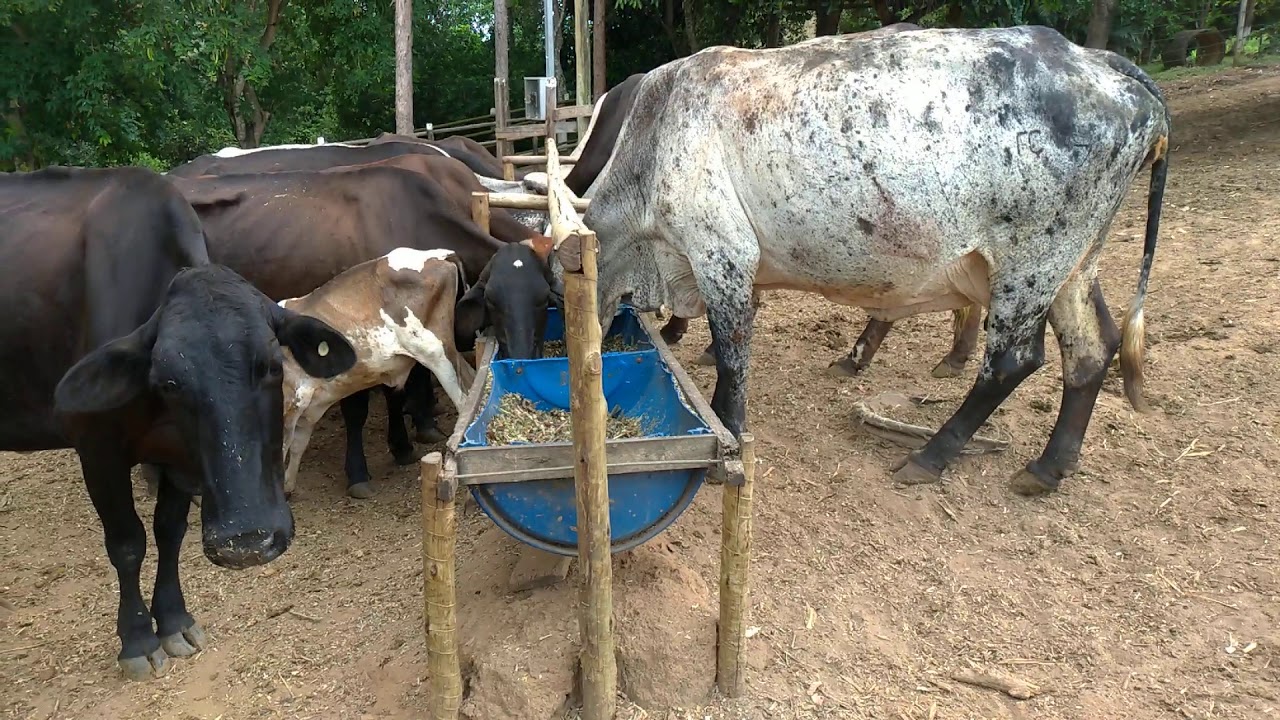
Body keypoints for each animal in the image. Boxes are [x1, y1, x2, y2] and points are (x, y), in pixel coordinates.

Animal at [0, 166, 357, 679]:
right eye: (167, 381)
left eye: (273, 364)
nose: (246, 540)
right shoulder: (96, 448)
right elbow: (127, 542)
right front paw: (136, 638)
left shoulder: (179, 462)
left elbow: (169, 531)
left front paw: (173, 621)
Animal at [277, 248, 477, 498]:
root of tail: (439, 255)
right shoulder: (309, 405)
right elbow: (297, 444)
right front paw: (288, 486)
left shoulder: (291, 401)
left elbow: (281, 449)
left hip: (437, 353)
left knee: (464, 399)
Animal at [576, 26, 1170, 496]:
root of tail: (1097, 60)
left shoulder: (723, 254)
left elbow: (731, 357)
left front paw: (726, 425)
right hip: (1071, 265)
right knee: (1093, 348)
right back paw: (1048, 467)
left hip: (1030, 264)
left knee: (1011, 362)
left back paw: (931, 455)